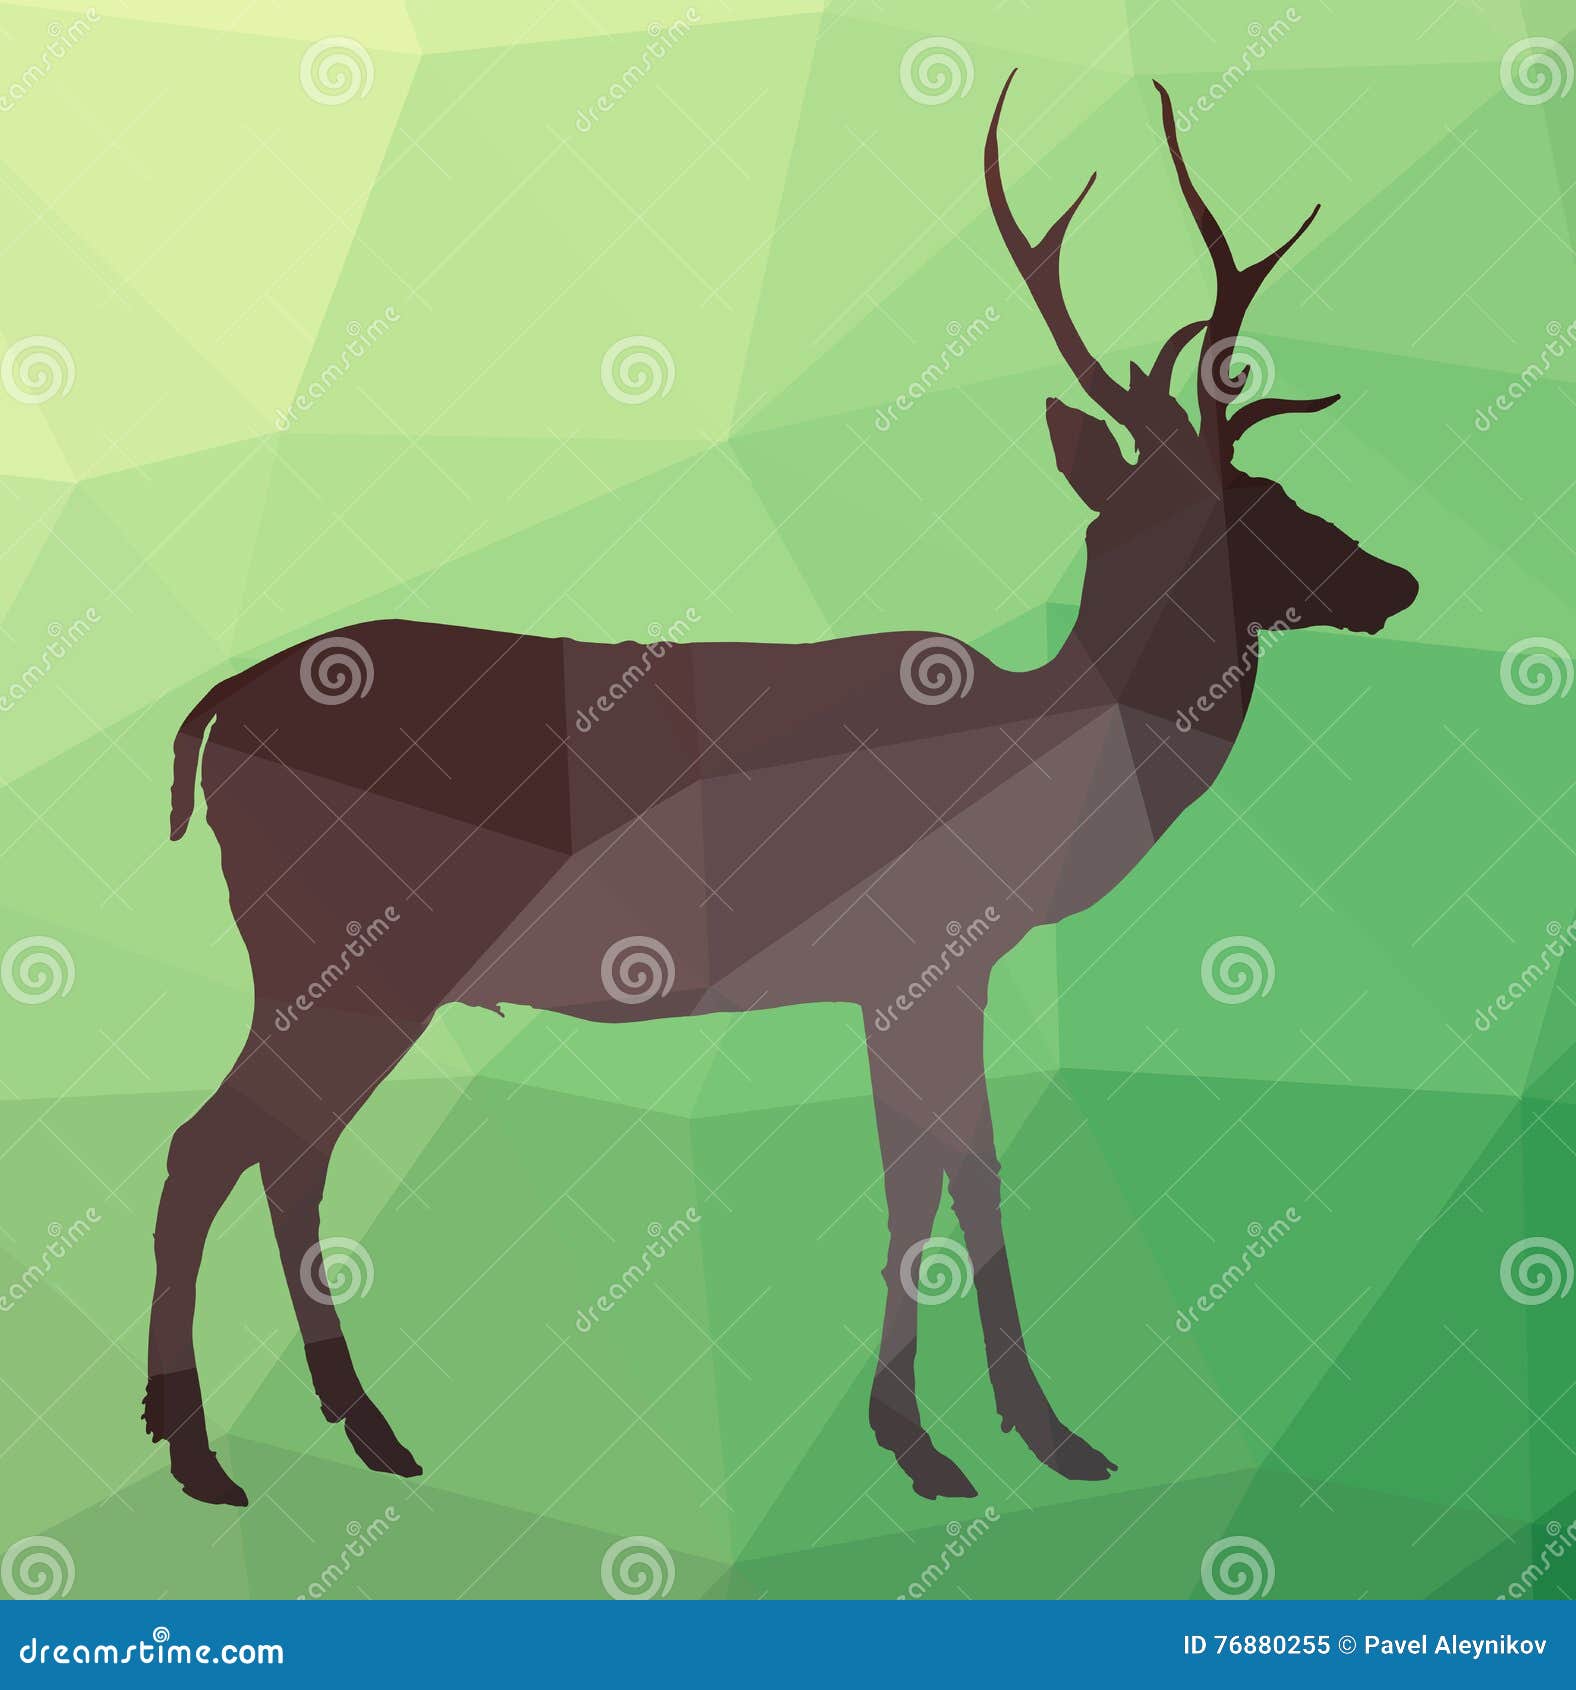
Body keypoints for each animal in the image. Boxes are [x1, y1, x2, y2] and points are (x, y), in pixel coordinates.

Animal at [145, 73, 1417, 1508]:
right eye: (1242, 502)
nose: (1391, 580)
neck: (1038, 769)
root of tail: (210, 711)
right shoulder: (923, 952)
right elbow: (940, 1180)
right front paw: (968, 1440)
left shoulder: (905, 973)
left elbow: (945, 1175)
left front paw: (995, 1432)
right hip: (350, 946)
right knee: (214, 1145)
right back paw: (201, 1450)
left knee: (283, 1151)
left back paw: (363, 1427)